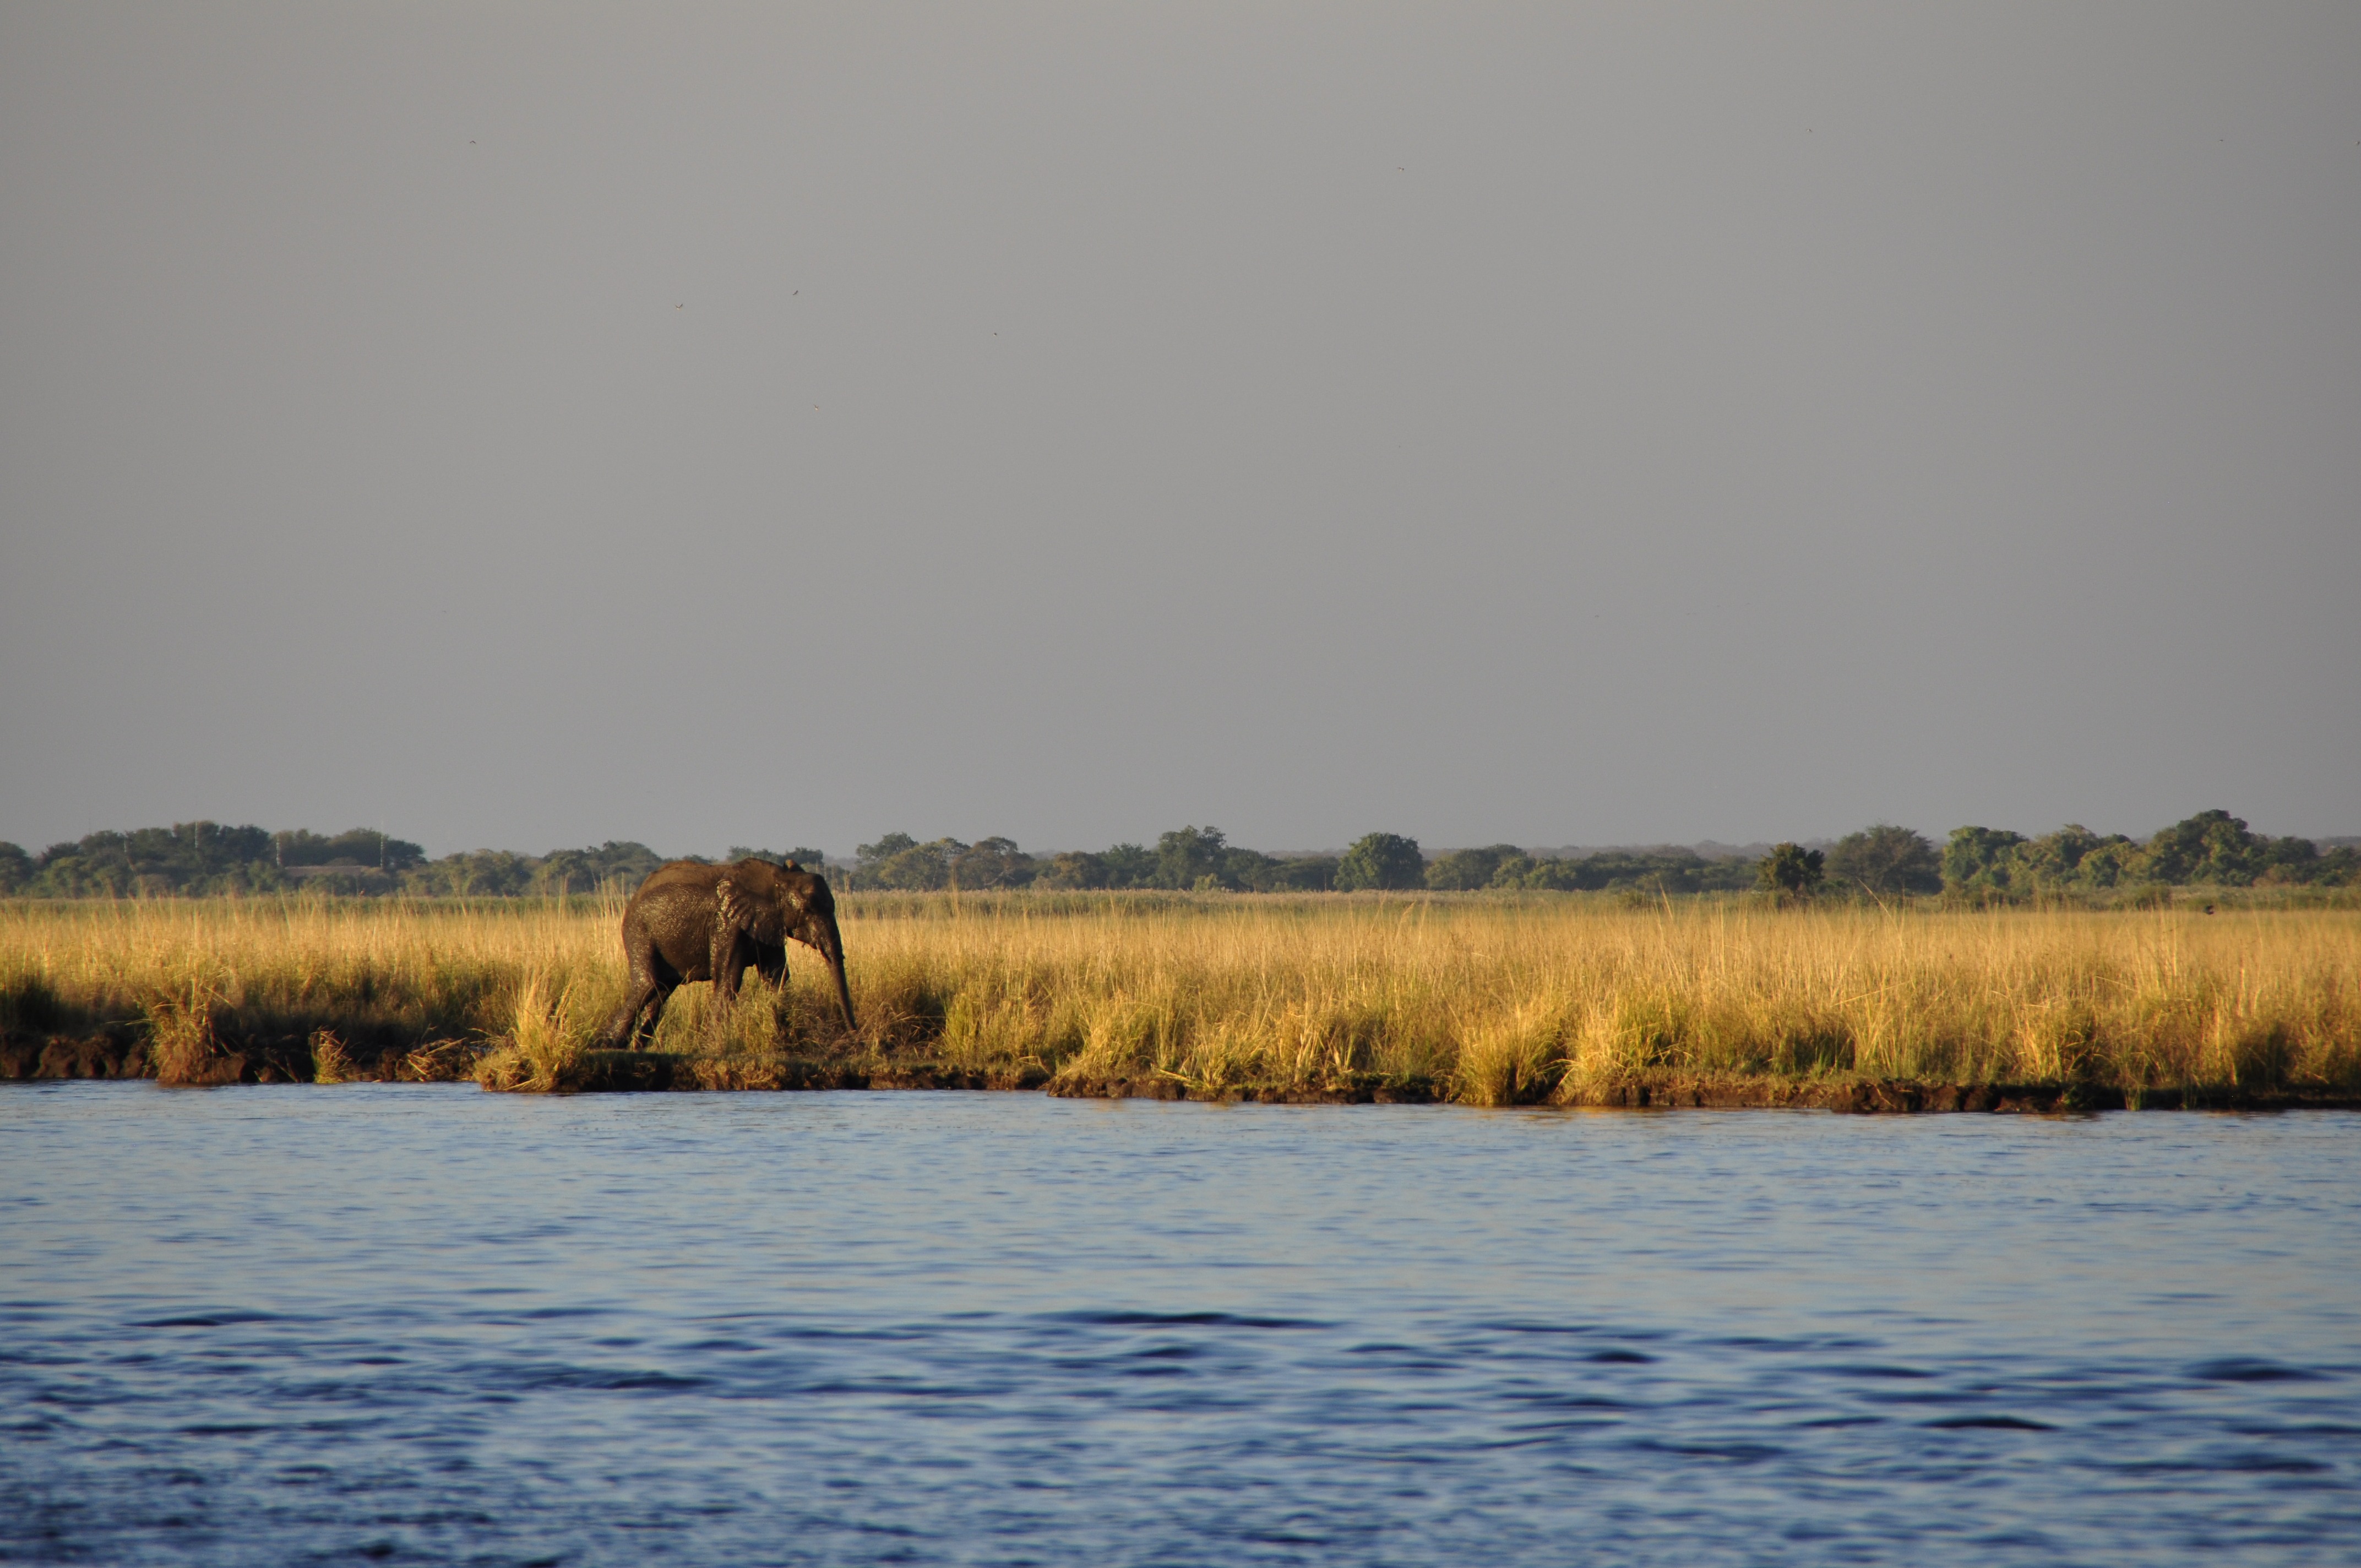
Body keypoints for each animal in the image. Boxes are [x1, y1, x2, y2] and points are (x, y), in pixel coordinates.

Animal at [603, 858, 855, 1049]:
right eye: (808, 910)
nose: (855, 1038)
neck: (778, 878)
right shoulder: (727, 923)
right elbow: (728, 979)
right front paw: (713, 1047)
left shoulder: (770, 924)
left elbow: (777, 980)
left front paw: (787, 1044)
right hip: (639, 930)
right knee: (647, 984)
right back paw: (611, 1044)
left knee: (660, 992)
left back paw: (636, 1048)